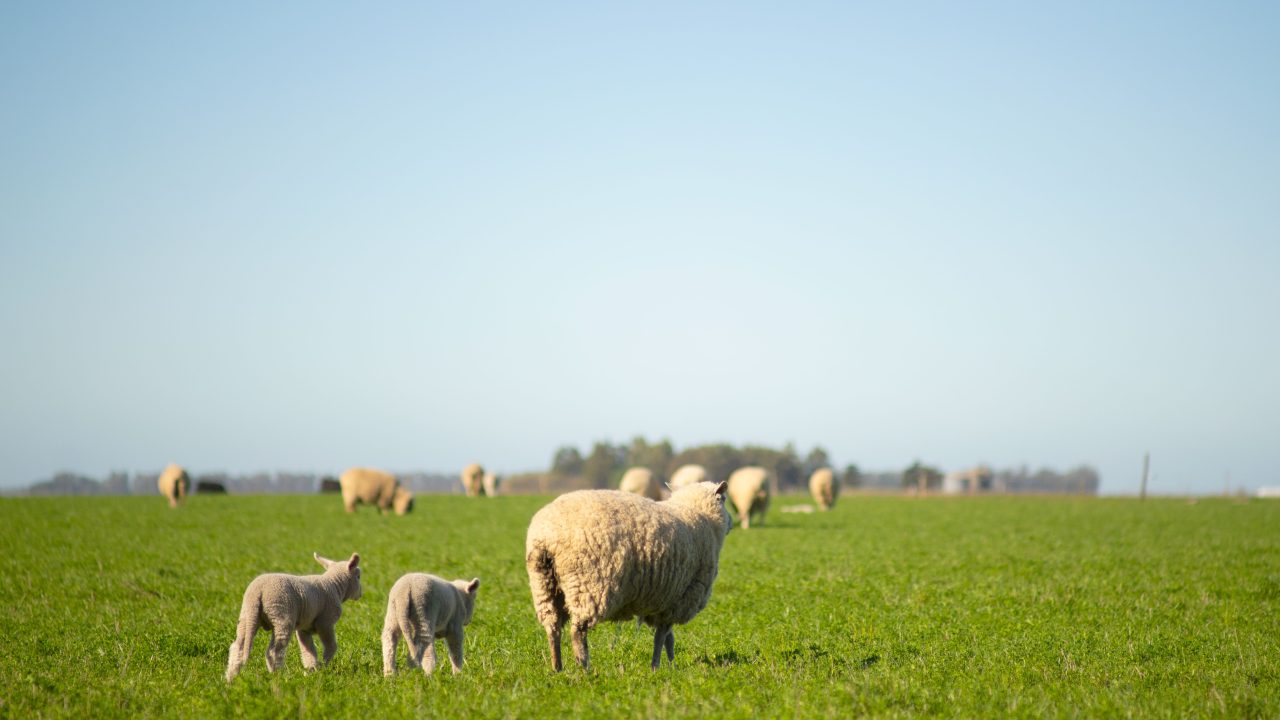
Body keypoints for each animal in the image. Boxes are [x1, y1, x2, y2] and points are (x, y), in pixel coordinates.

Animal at [224, 552, 363, 682]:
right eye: (358, 576)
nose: (361, 594)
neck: (334, 585)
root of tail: (257, 591)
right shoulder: (326, 623)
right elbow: (331, 646)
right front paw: (324, 666)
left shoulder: (304, 628)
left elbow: (308, 650)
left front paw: (311, 671)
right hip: (281, 615)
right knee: (274, 651)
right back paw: (278, 675)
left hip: (246, 615)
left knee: (237, 647)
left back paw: (231, 678)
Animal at [525, 481, 732, 672]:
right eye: (723, 498)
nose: (731, 522)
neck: (700, 516)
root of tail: (546, 537)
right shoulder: (677, 600)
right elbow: (661, 638)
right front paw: (658, 666)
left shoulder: (661, 602)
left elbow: (668, 638)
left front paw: (669, 664)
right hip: (588, 586)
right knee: (577, 632)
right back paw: (584, 668)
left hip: (544, 584)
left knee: (552, 627)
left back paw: (557, 668)